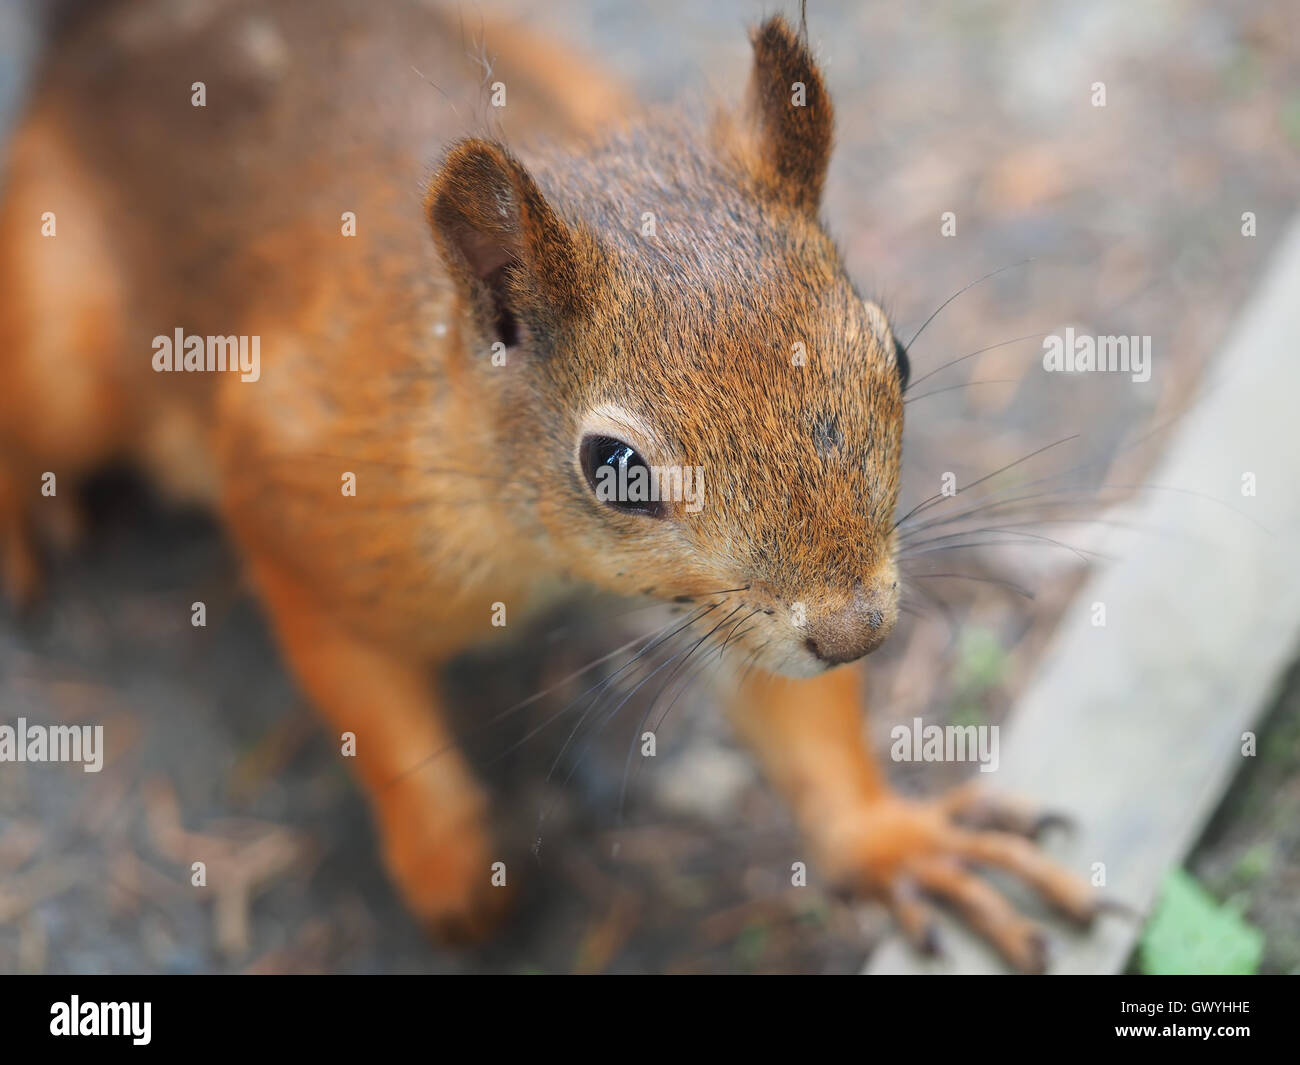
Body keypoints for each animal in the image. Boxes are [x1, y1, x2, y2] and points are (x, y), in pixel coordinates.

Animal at [0, 0, 1102, 969]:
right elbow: (363, 700)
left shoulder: (742, 612)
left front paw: (893, 843)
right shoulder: (306, 492)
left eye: (896, 354)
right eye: (613, 467)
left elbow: (796, 717)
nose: (855, 635)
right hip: (66, 333)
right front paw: (451, 865)